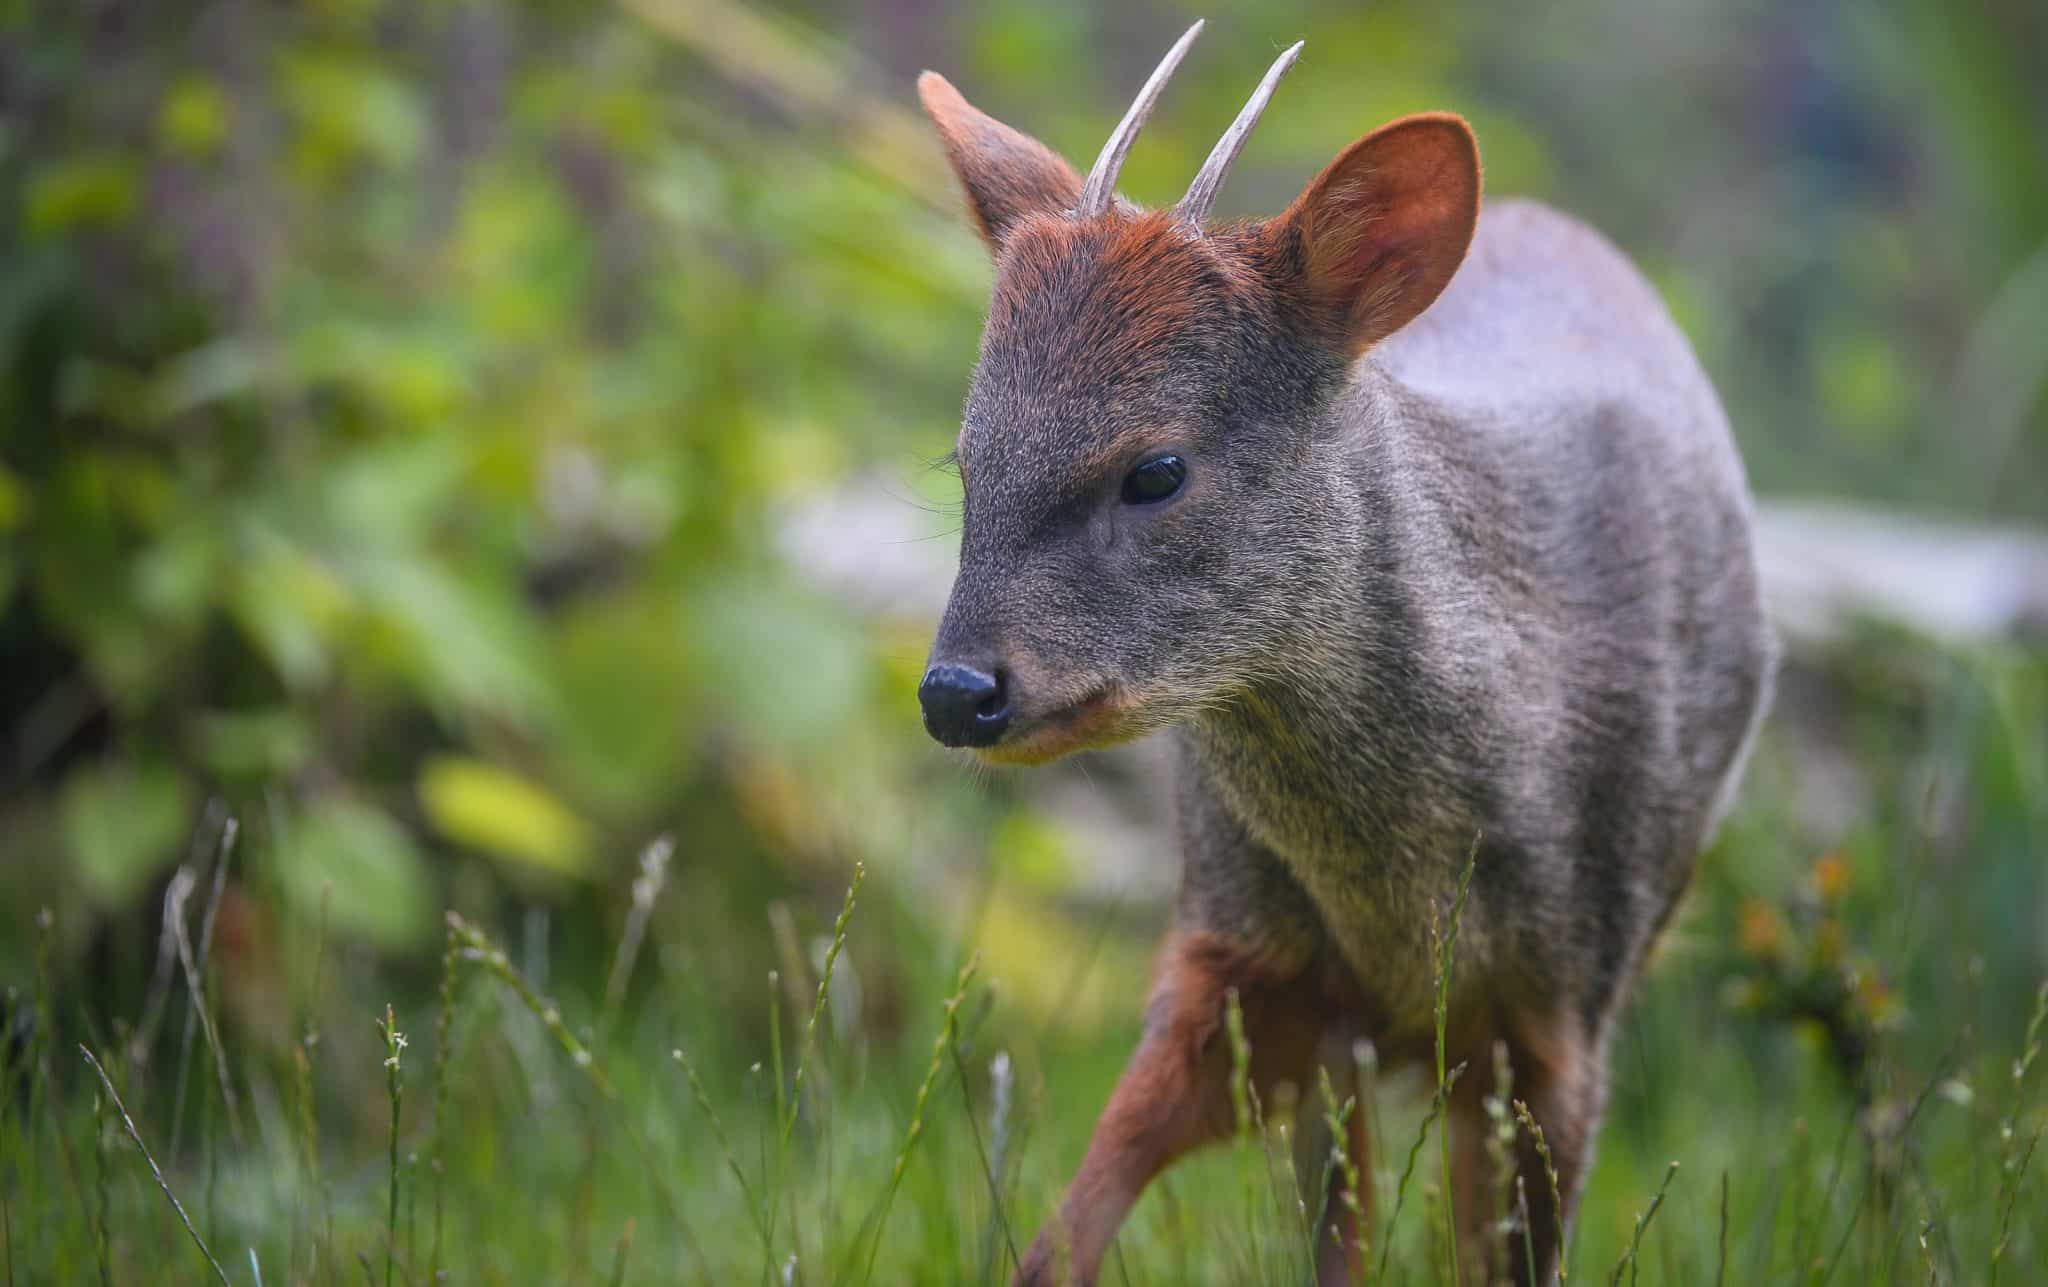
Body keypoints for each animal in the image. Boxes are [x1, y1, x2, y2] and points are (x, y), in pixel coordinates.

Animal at [912, 21, 1774, 1286]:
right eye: (966, 458)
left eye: (1154, 471)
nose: (957, 691)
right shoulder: (1244, 961)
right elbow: (1070, 1227)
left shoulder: (1564, 1009)